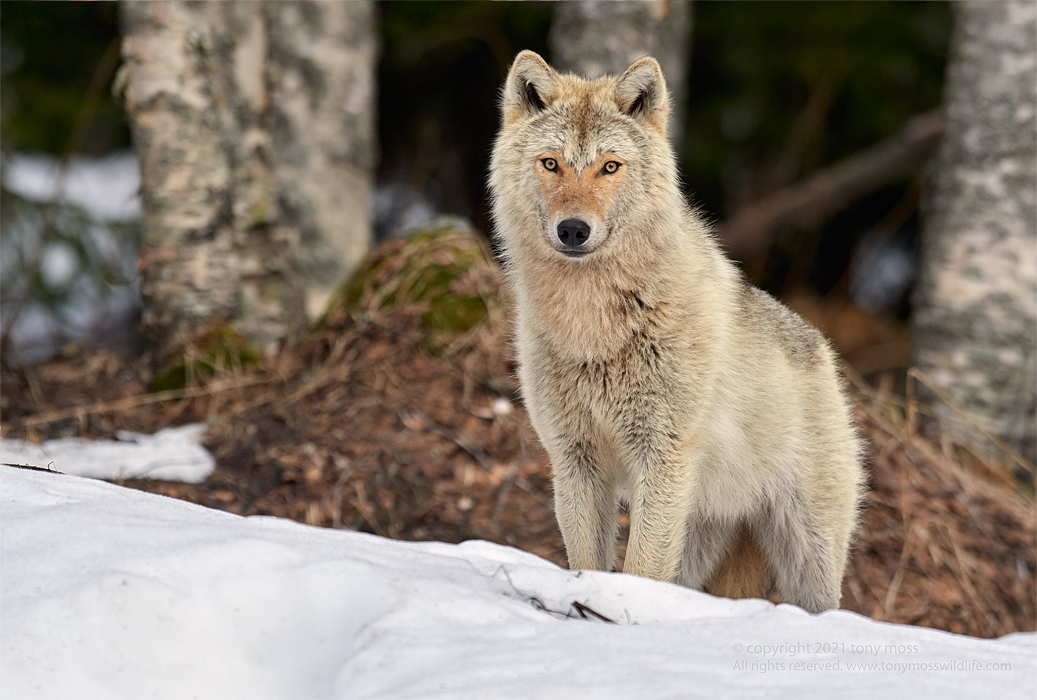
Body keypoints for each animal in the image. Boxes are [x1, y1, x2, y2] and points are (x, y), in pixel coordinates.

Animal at [489, 50, 864, 613]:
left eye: (610, 167)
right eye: (551, 163)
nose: (573, 230)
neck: (593, 326)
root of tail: (825, 354)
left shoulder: (662, 455)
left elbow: (640, 569)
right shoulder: (574, 458)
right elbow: (585, 563)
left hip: (807, 559)